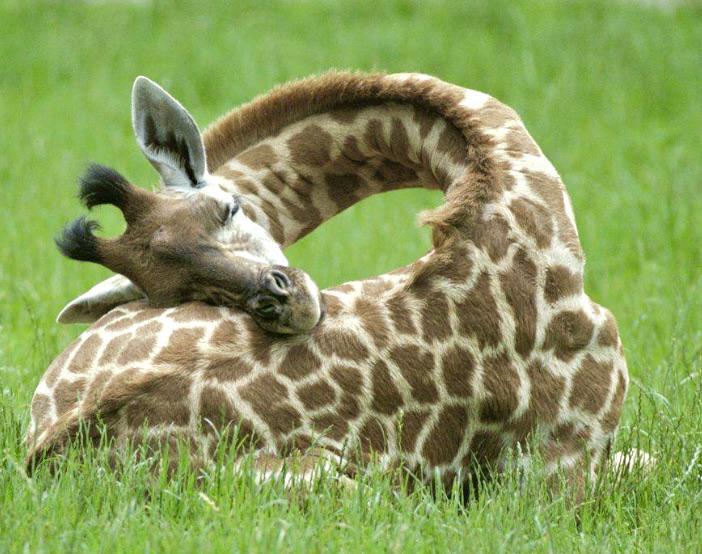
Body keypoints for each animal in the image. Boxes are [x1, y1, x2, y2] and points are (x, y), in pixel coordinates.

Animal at [26, 71, 629, 497]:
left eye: (229, 208)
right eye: (171, 292)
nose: (280, 302)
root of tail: (45, 453)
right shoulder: (562, 466)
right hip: (343, 486)